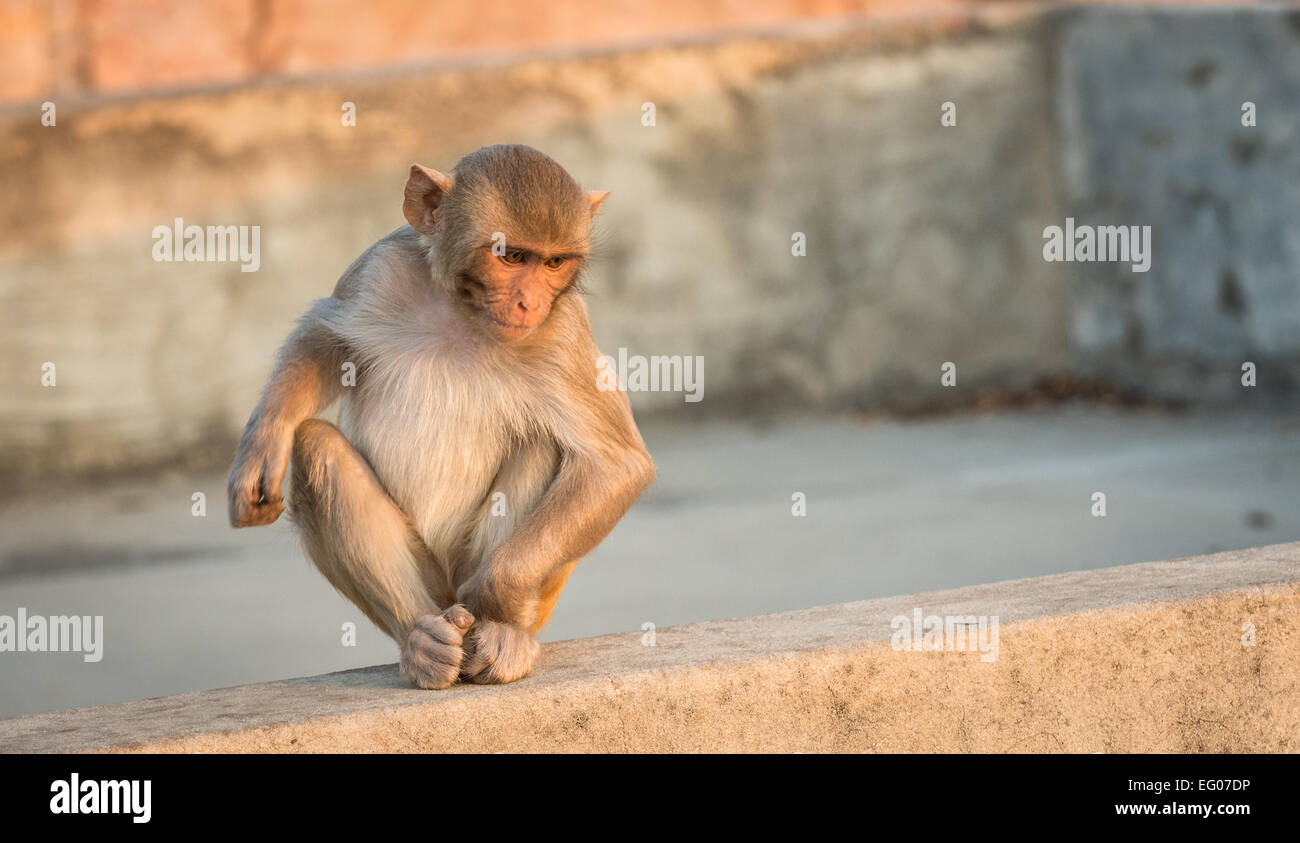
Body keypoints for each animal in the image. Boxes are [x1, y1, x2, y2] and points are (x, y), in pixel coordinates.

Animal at [226, 144, 655, 689]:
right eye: (510, 256)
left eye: (554, 261)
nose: (530, 302)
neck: (463, 311)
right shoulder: (380, 268)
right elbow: (323, 340)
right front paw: (262, 446)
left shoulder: (563, 330)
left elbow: (617, 465)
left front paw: (494, 596)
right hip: (429, 582)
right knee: (317, 447)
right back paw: (421, 641)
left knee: (547, 442)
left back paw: (502, 633)